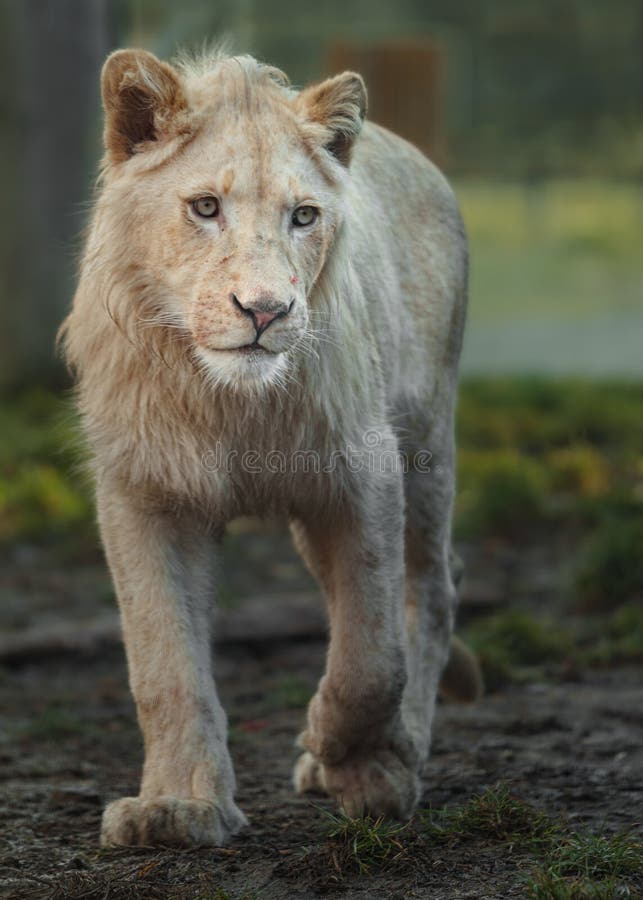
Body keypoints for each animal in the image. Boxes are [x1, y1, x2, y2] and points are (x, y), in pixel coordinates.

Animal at [60, 47, 480, 848]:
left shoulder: (364, 473)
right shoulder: (145, 492)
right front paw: (179, 808)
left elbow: (370, 655)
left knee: (429, 593)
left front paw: (356, 763)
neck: (231, 403)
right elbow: (164, 664)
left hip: (429, 443)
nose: (264, 310)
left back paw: (397, 748)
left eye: (304, 216)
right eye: (204, 208)